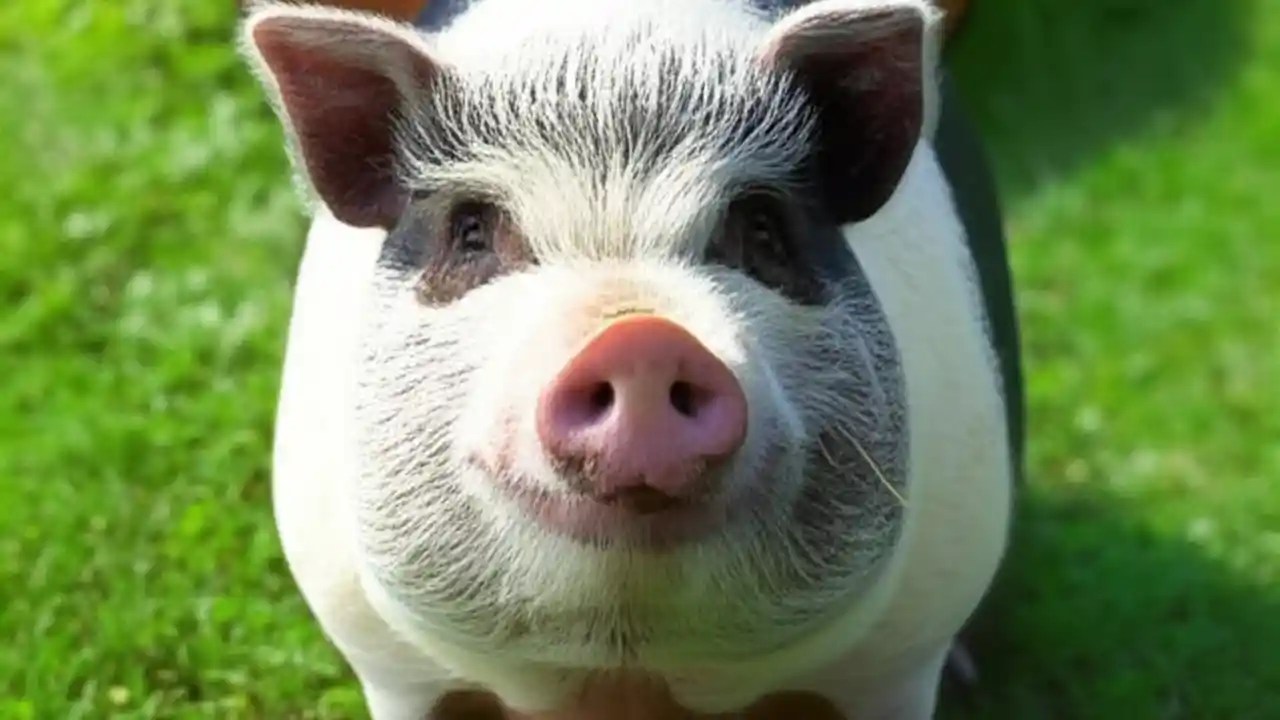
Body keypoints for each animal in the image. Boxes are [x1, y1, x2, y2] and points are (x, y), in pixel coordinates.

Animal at [242, 0, 1022, 717]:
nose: (641, 338)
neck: (629, 679)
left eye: (762, 230)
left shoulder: (899, 656)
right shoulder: (386, 660)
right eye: (470, 232)